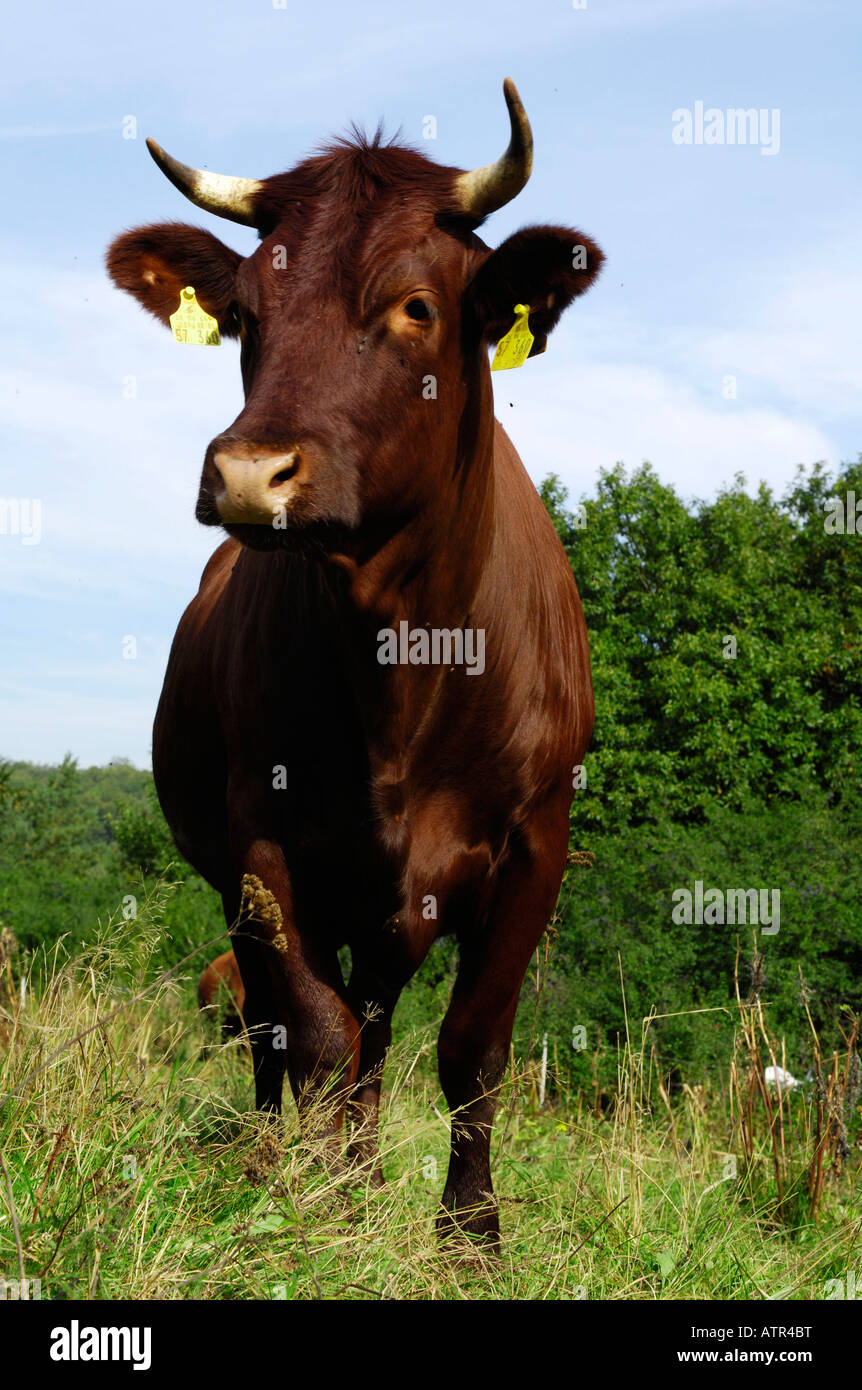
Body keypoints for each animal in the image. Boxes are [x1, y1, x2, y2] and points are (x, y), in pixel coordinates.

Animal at [106, 79, 601, 1248]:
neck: (400, 659)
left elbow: (472, 1047)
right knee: (287, 1036)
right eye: (244, 314)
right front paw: (321, 1208)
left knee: (376, 1036)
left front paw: (470, 1237)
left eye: (415, 307)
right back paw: (288, 1162)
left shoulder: (536, 843)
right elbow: (316, 1037)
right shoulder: (259, 843)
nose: (250, 473)